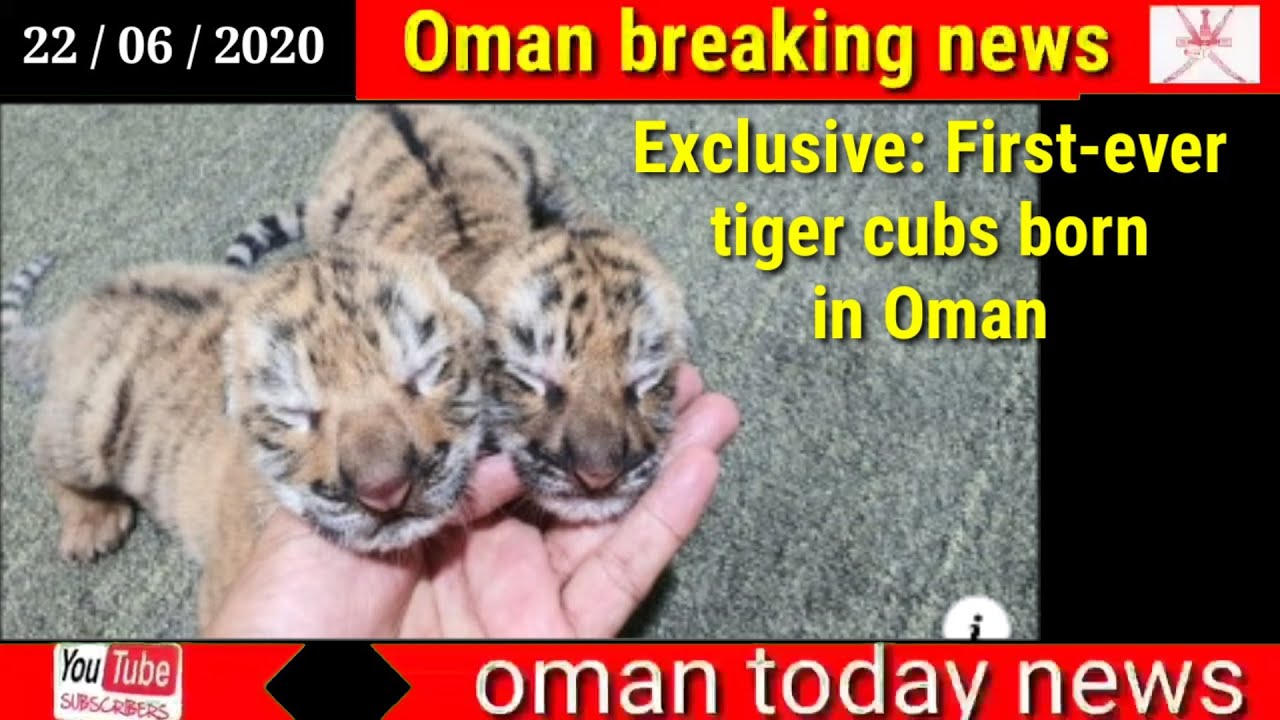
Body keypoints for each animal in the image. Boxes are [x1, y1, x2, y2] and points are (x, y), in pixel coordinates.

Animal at [0, 244, 486, 629]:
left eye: (424, 374)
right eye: (295, 413)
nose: (385, 491)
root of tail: (80, 308)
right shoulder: (222, 588)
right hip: (83, 426)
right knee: (44, 455)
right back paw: (92, 523)